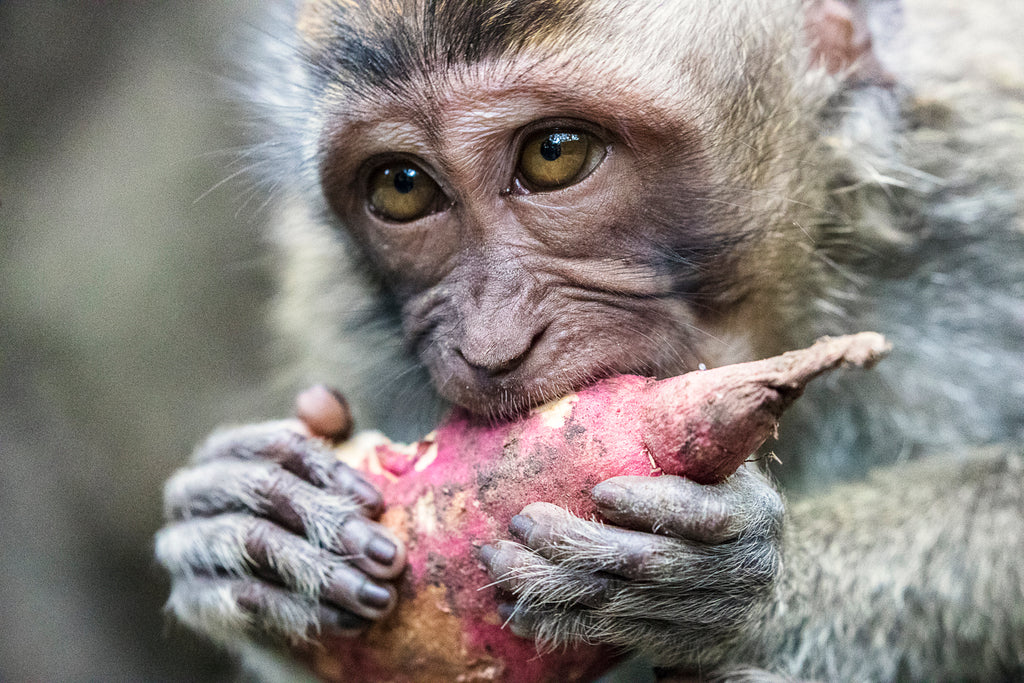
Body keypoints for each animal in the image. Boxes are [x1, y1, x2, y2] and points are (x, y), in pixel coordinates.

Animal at [155, 0, 1024, 680]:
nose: (492, 343)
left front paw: (751, 579)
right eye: (401, 187)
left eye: (555, 153)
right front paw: (238, 521)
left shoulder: (985, 174)